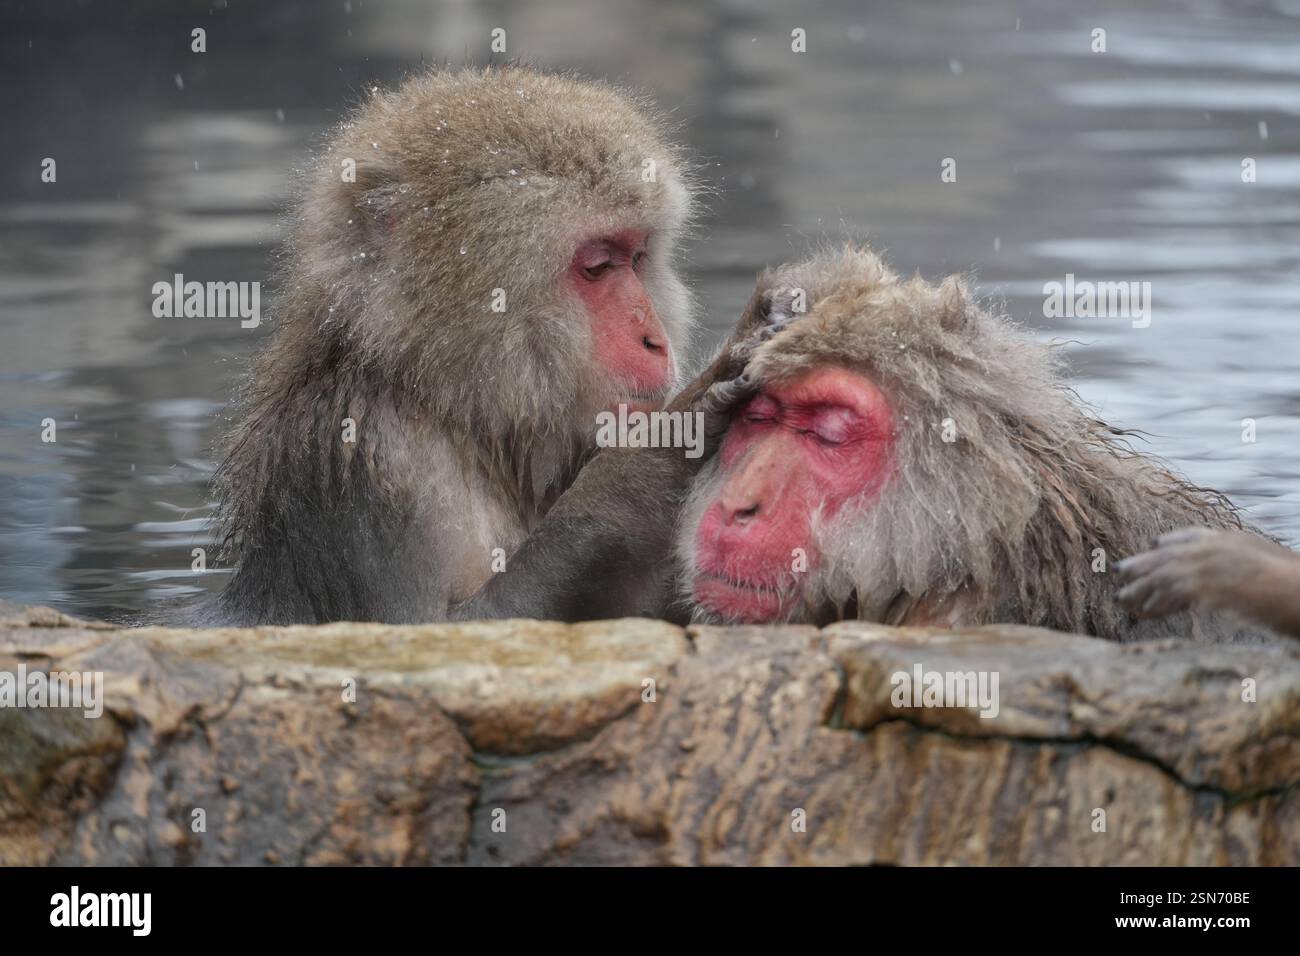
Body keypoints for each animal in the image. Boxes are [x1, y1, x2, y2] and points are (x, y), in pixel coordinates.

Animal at [202, 64, 704, 625]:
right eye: (596, 266)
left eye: (636, 258)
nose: (655, 341)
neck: (455, 410)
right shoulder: (370, 457)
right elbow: (436, 624)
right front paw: (644, 469)